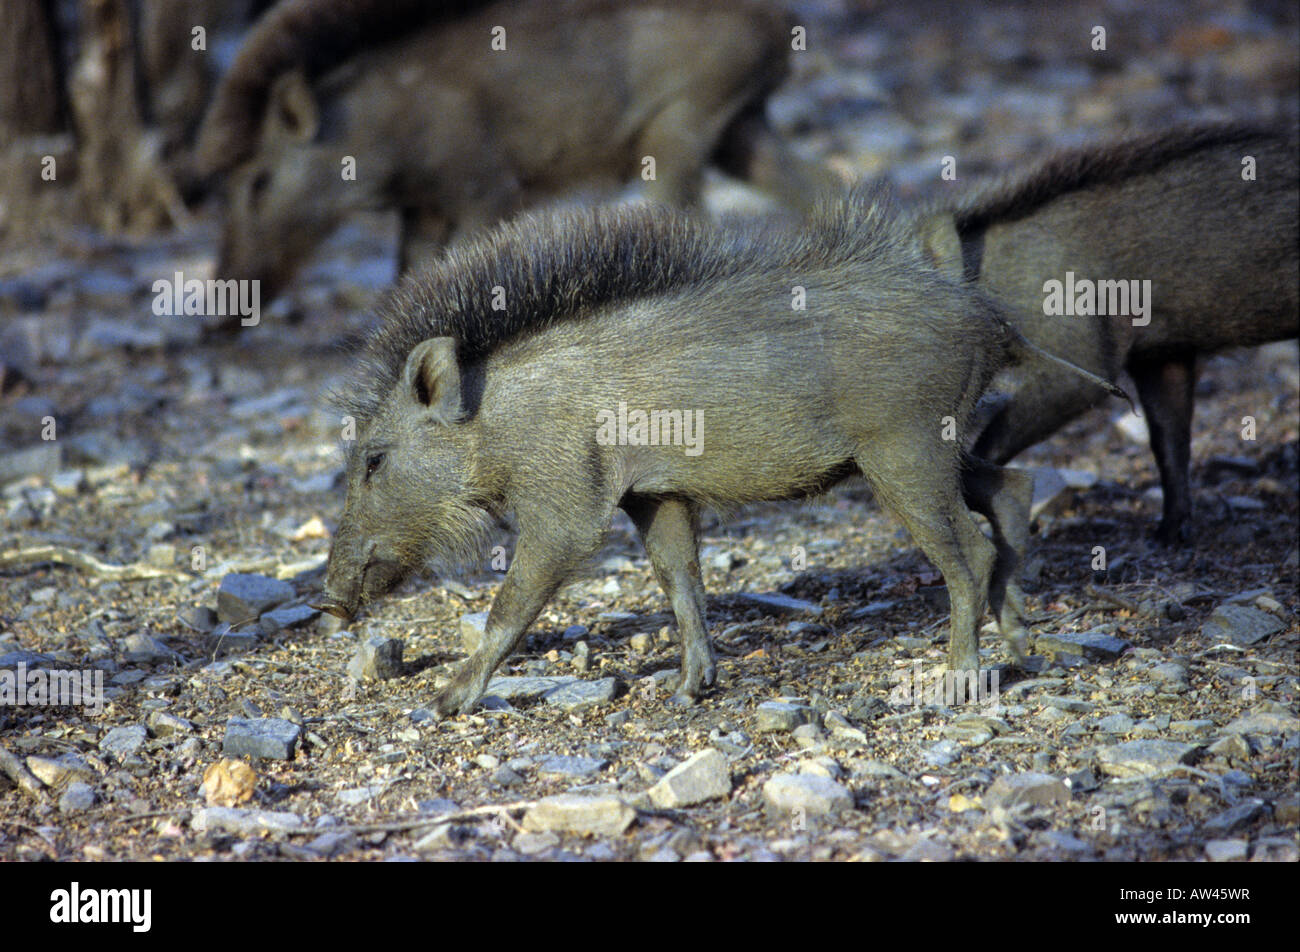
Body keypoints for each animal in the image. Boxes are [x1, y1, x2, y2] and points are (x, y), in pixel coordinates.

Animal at [193, 0, 834, 303]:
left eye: (257, 181)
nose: (219, 314)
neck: (376, 130)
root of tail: (782, 21)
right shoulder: (423, 214)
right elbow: (407, 281)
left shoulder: (488, 190)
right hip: (739, 131)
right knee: (826, 183)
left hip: (679, 128)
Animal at [315, 188, 1130, 716]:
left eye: (373, 460)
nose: (327, 602)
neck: (495, 420)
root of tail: (986, 315)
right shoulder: (654, 495)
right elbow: (681, 582)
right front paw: (685, 693)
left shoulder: (566, 508)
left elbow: (512, 603)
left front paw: (444, 700)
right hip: (941, 446)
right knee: (1012, 491)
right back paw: (1029, 650)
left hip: (903, 452)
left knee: (969, 546)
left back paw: (956, 680)